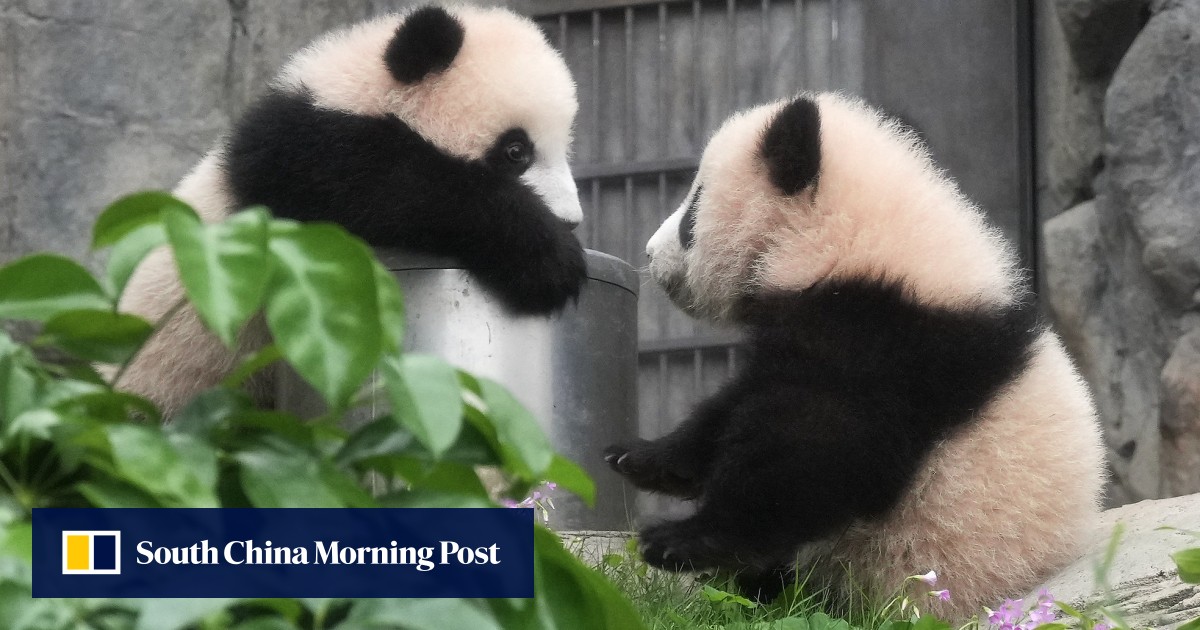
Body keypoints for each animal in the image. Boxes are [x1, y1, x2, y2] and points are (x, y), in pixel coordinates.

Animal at [116, 5, 585, 414]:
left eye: (565, 148)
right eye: (515, 151)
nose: (571, 222)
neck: (356, 90)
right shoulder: (300, 158)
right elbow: (394, 188)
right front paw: (547, 258)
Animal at [605, 93, 1105, 618]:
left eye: (693, 211)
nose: (650, 253)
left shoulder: (887, 346)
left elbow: (813, 448)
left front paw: (679, 540)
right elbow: (733, 405)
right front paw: (639, 457)